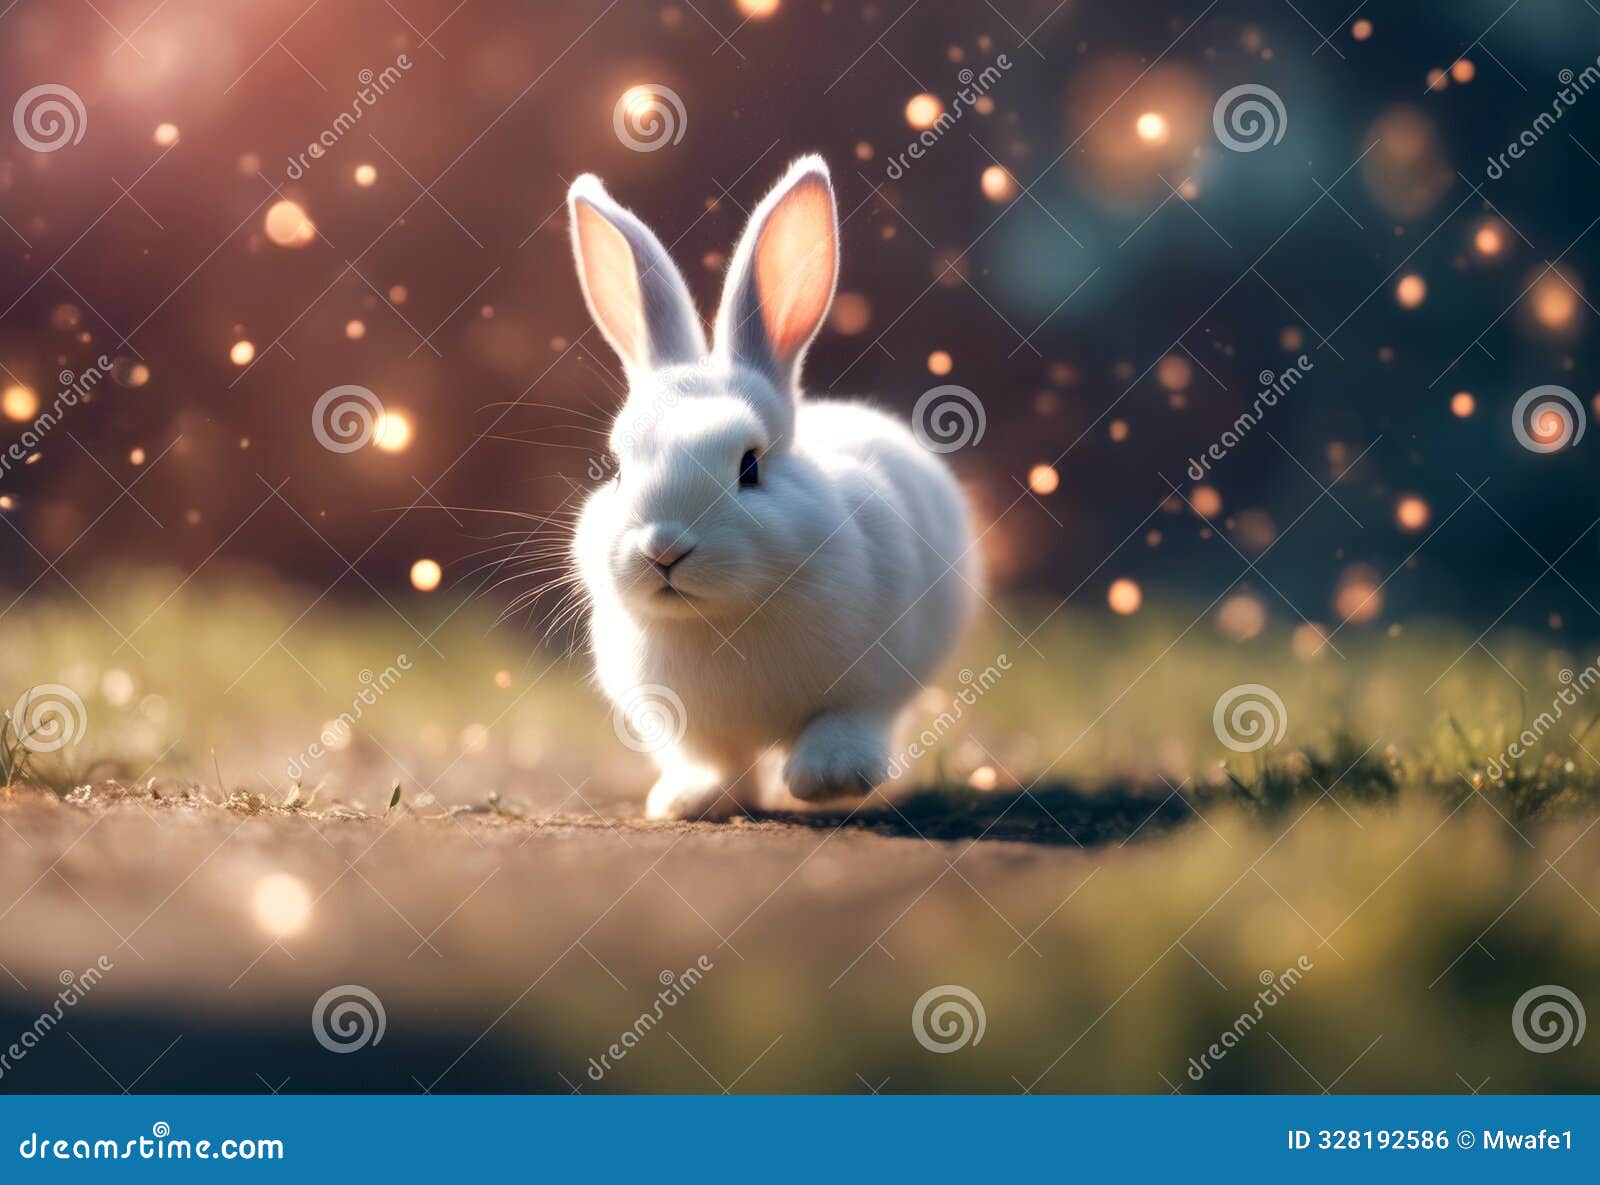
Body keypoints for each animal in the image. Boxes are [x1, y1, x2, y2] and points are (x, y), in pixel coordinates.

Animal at [566, 154, 977, 820]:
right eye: (619, 469)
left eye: (750, 467)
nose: (664, 549)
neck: (721, 619)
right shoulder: (693, 729)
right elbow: (719, 762)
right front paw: (689, 801)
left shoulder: (866, 688)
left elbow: (843, 723)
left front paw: (826, 780)